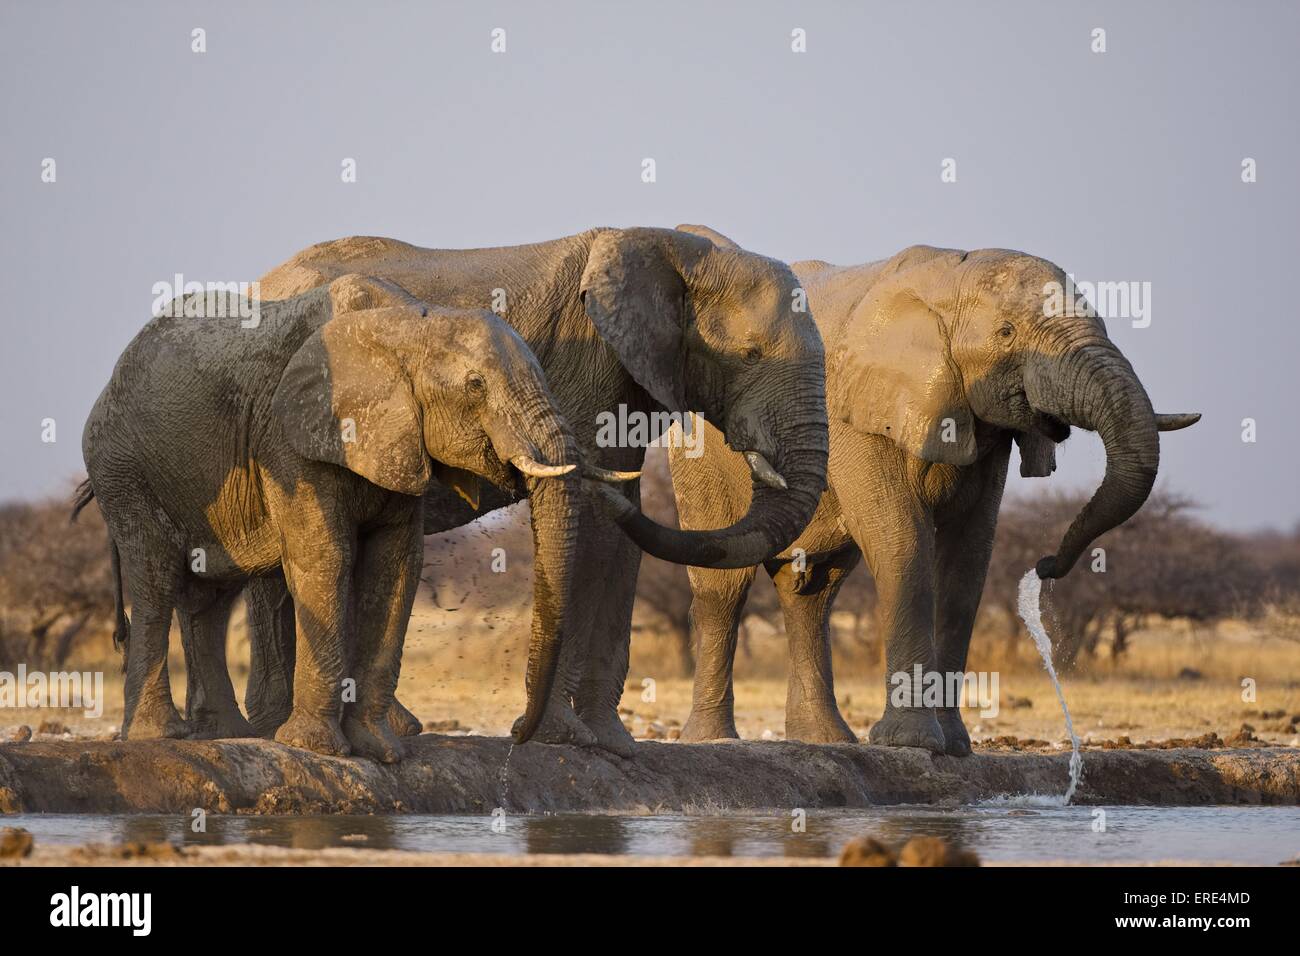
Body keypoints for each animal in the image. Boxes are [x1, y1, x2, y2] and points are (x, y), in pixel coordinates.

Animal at [78, 273, 624, 762]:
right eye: (475, 386)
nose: (517, 735)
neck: (409, 324)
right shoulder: (289, 438)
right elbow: (325, 557)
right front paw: (318, 748)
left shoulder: (398, 438)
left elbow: (395, 565)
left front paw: (381, 751)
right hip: (122, 467)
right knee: (156, 579)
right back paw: (160, 735)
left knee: (209, 594)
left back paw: (224, 734)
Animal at [222, 226, 830, 757]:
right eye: (751, 354)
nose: (515, 732)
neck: (675, 246)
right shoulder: (592, 367)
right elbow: (591, 536)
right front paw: (563, 739)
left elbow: (619, 543)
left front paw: (613, 745)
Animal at [668, 229, 1200, 755]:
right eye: (1006, 332)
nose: (1046, 565)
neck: (949, 279)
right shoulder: (853, 413)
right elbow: (902, 540)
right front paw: (912, 743)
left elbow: (969, 556)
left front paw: (956, 746)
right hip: (700, 454)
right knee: (723, 586)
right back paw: (714, 740)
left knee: (815, 594)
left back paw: (827, 740)